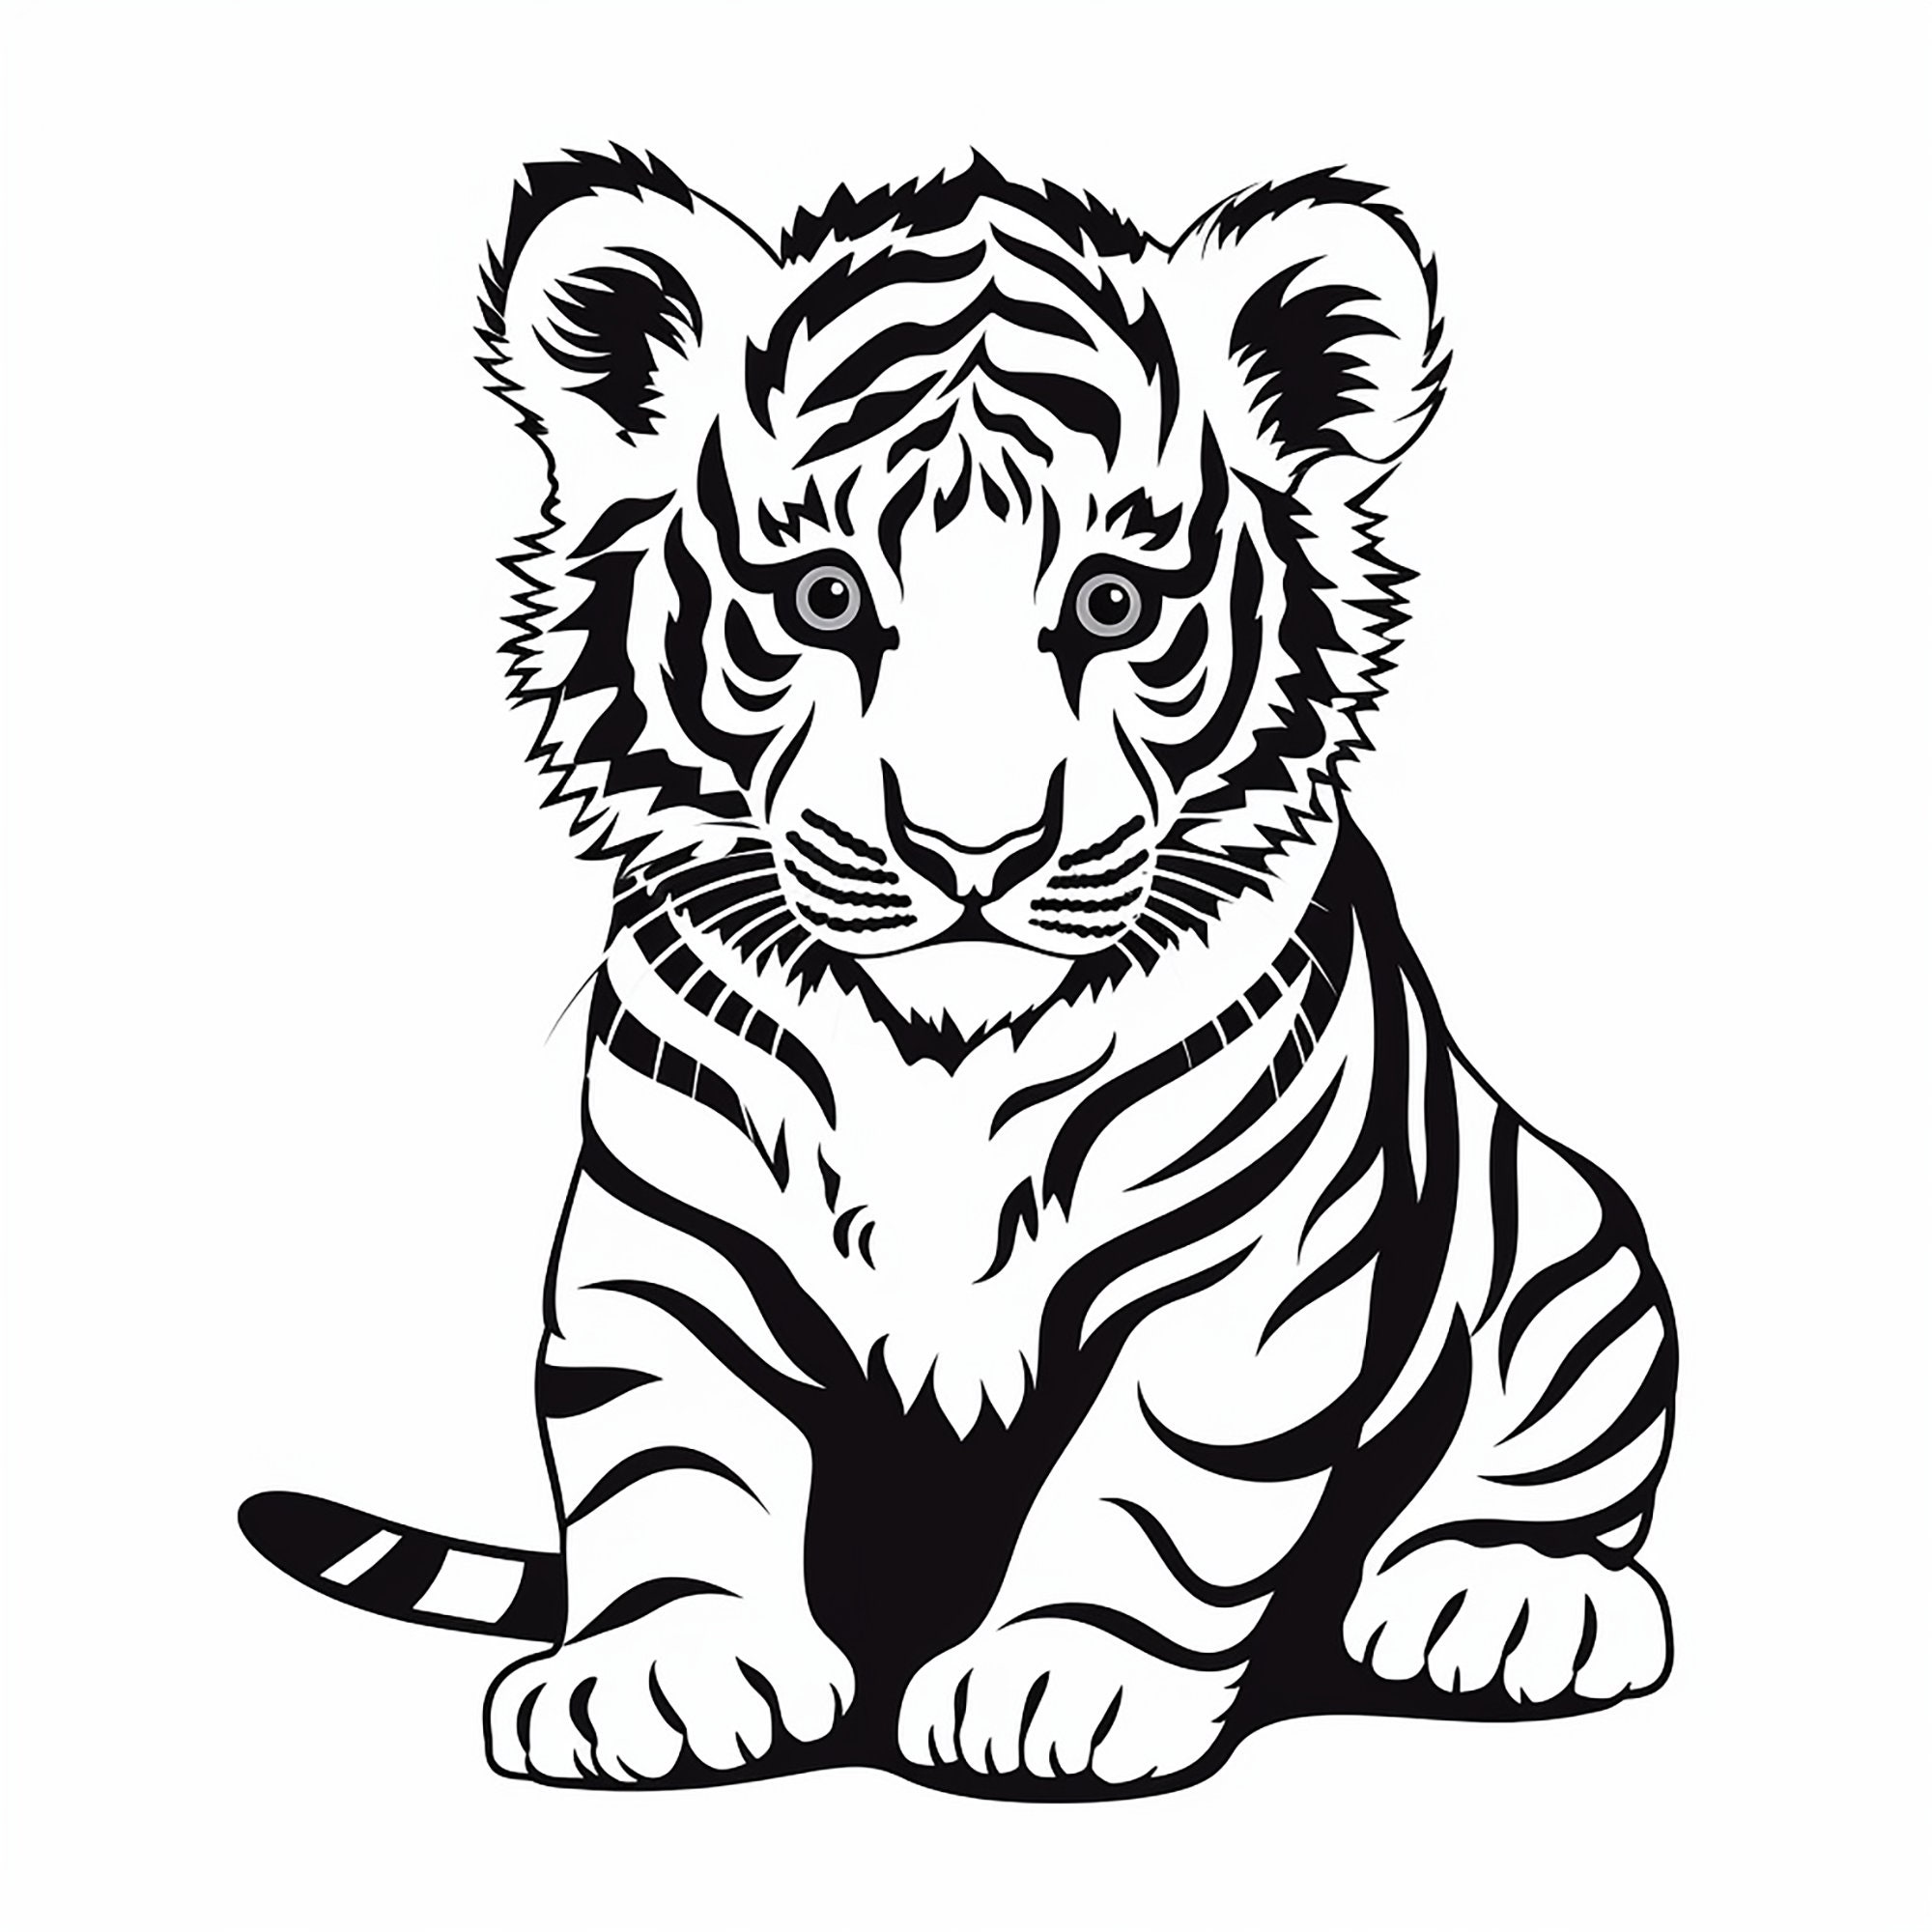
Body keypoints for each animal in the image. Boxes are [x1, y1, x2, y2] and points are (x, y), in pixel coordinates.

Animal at [240, 148, 1677, 1798]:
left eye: (1114, 605)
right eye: (822, 599)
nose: (970, 850)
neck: (943, 1052)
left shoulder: (1243, 1274)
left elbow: (1156, 1489)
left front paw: (1064, 1686)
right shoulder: (667, 1241)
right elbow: (665, 1454)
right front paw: (659, 1673)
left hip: (1569, 1248)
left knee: (1547, 1472)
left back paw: (1507, 1599)